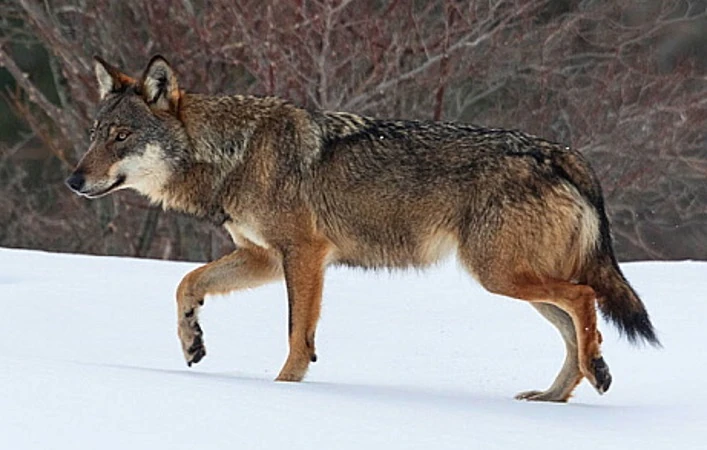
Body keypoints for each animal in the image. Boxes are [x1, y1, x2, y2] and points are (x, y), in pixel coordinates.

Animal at [66, 55, 659, 402]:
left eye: (121, 136)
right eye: (94, 133)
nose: (73, 180)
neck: (233, 154)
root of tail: (560, 152)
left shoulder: (303, 253)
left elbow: (297, 334)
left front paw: (283, 390)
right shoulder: (263, 257)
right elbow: (185, 283)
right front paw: (192, 340)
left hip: (501, 276)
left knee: (583, 300)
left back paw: (595, 371)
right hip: (512, 282)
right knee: (572, 325)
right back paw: (559, 394)